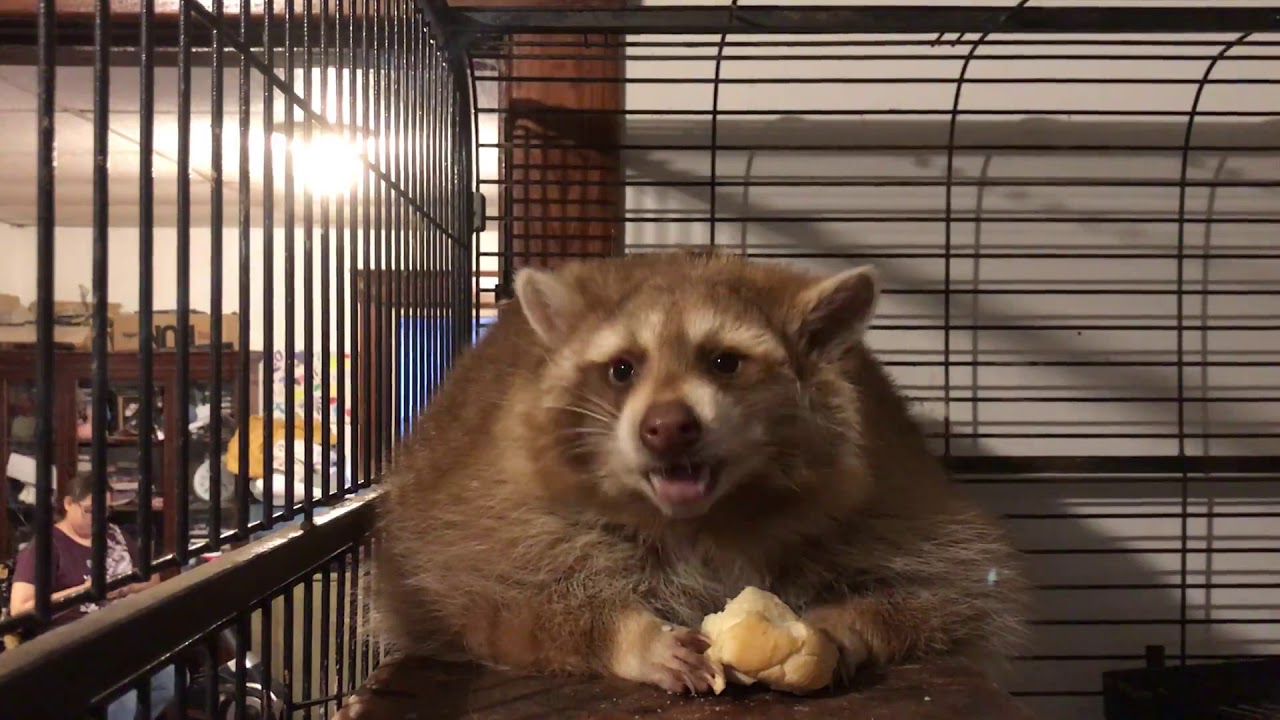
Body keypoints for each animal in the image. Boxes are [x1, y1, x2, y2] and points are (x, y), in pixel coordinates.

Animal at [374, 251, 1027, 694]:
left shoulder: (893, 491)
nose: (667, 428)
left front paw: (843, 625)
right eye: (622, 369)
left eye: (724, 362)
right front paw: (628, 635)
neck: (700, 519)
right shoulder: (486, 509)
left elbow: (951, 594)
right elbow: (482, 596)